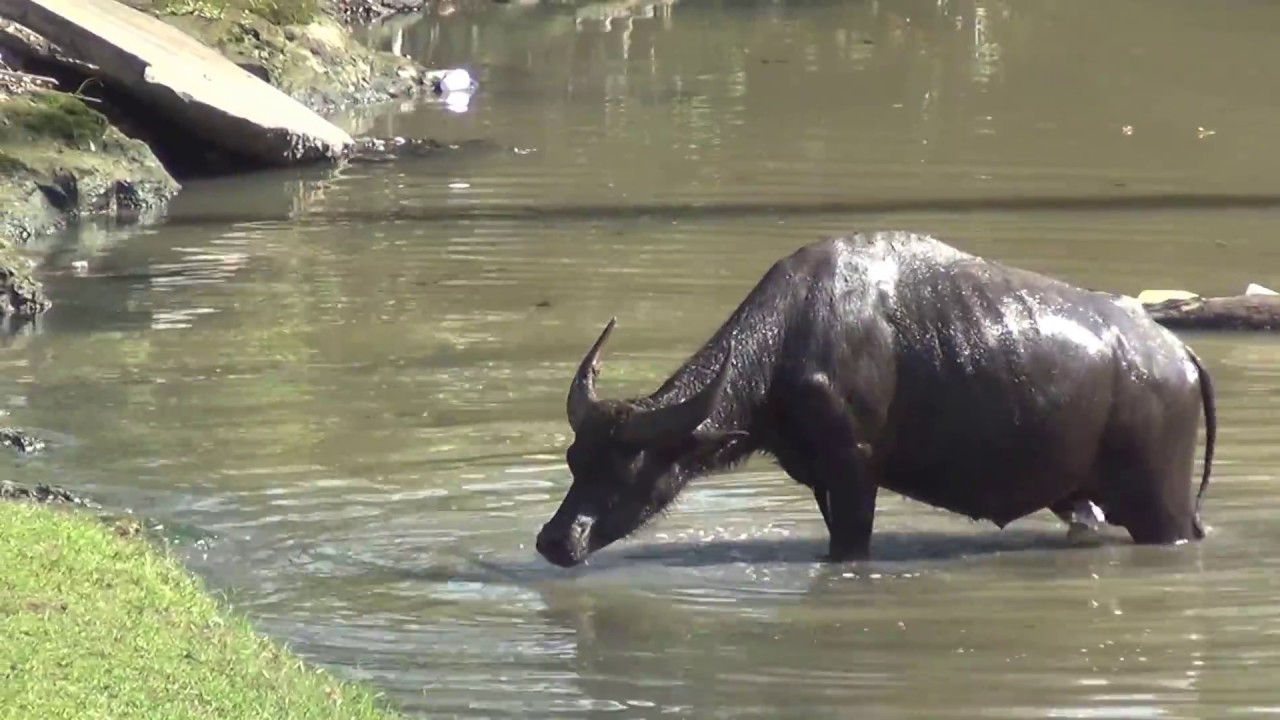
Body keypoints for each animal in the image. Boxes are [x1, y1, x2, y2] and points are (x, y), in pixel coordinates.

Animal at [535, 231, 1216, 567]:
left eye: (630, 465)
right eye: (575, 459)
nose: (555, 540)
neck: (791, 340)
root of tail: (1178, 355)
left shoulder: (854, 469)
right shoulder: (820, 480)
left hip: (1160, 507)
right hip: (1083, 498)